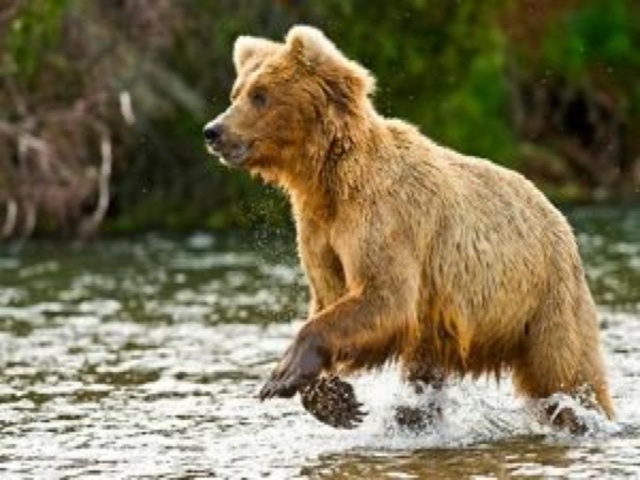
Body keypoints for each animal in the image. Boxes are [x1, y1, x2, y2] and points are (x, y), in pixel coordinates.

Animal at [203, 25, 614, 430]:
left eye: (260, 95)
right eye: (237, 92)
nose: (213, 130)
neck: (329, 180)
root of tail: (558, 214)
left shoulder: (386, 218)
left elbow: (386, 294)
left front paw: (282, 376)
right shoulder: (320, 232)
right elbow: (330, 295)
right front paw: (335, 400)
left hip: (544, 297)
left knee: (565, 372)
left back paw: (585, 416)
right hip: (444, 326)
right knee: (426, 374)